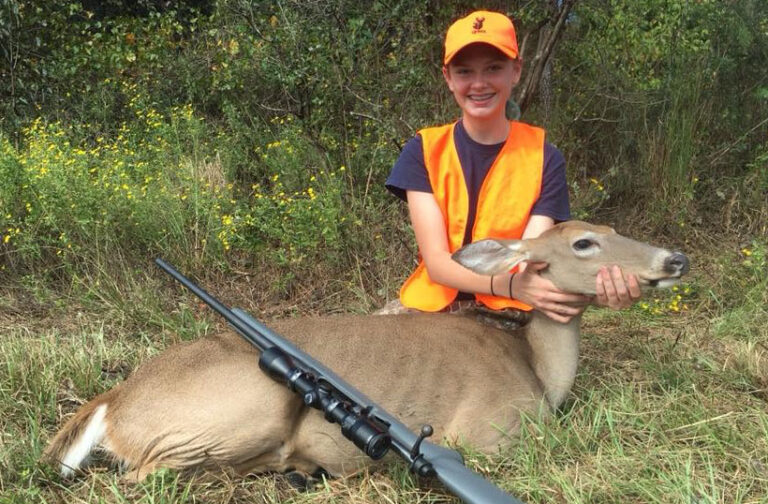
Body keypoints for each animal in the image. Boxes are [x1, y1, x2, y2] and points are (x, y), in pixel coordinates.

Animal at [44, 221, 689, 482]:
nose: (674, 259)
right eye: (584, 242)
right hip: (242, 407)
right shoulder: (492, 431)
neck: (540, 374)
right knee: (142, 477)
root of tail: (113, 400)